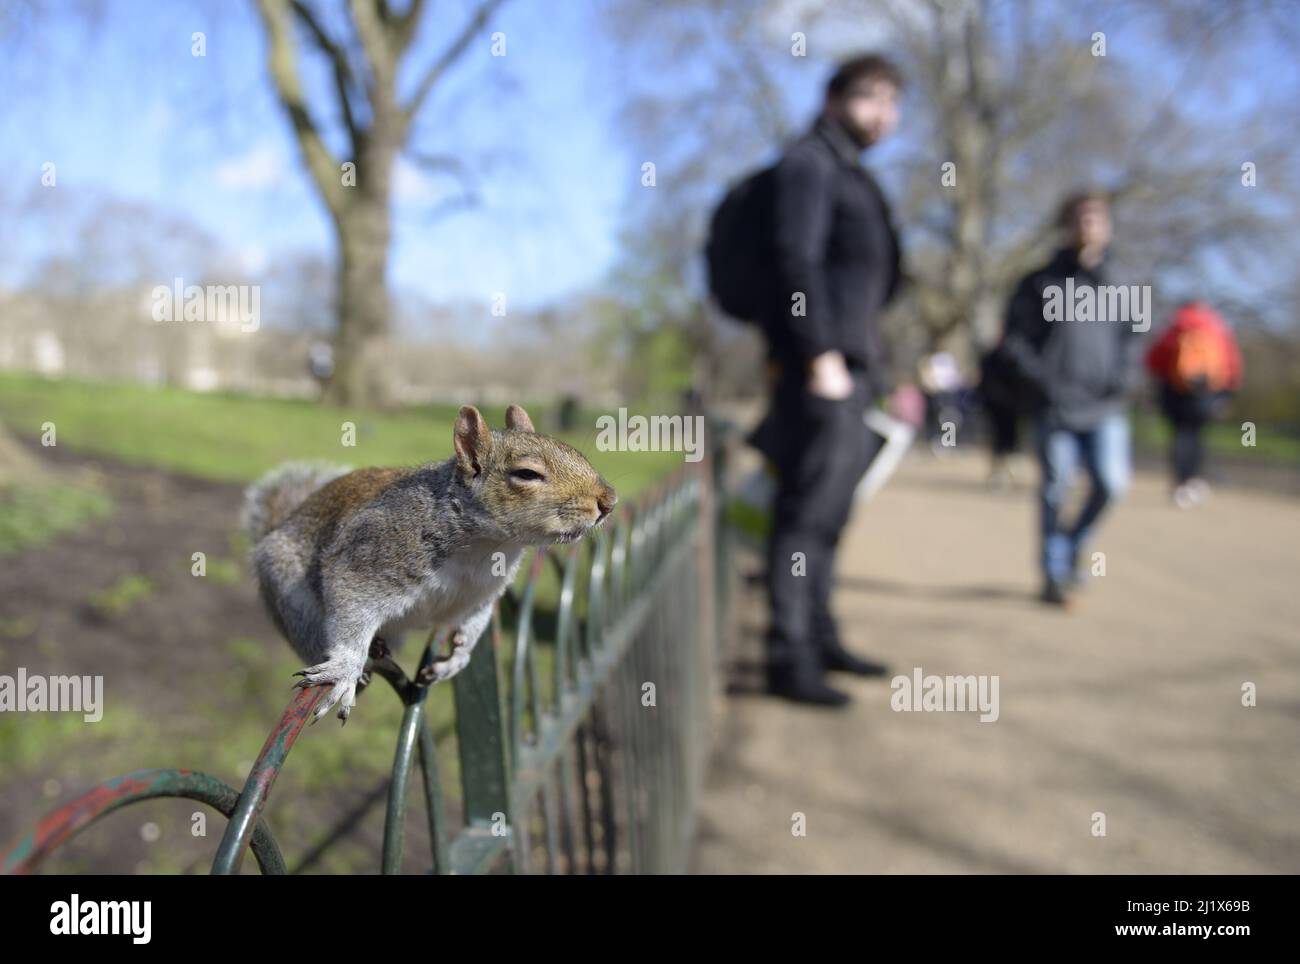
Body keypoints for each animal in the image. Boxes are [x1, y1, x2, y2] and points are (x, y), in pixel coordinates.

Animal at [240, 404, 617, 724]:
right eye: (526, 473)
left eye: (577, 453)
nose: (609, 501)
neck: (488, 546)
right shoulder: (369, 556)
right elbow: (351, 608)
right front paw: (347, 667)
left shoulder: (482, 595)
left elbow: (473, 626)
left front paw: (457, 658)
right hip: (293, 602)